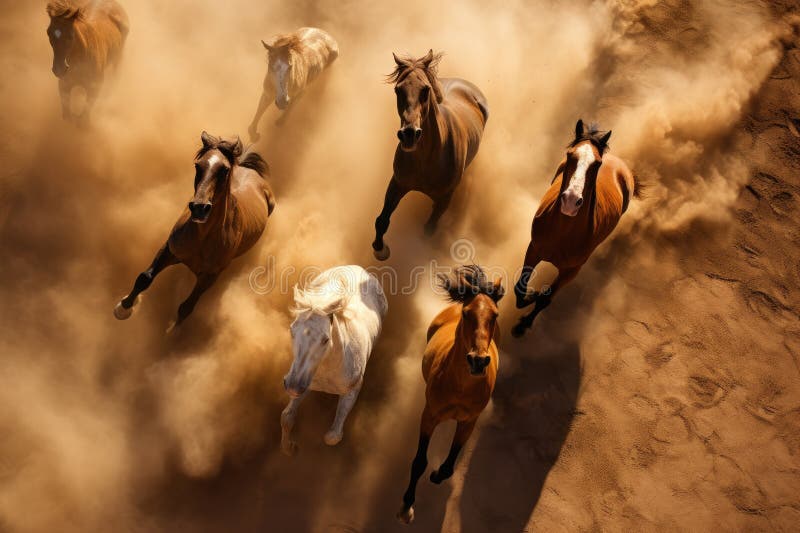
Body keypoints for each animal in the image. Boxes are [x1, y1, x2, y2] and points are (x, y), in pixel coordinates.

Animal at [114, 132, 276, 329]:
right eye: (198, 165)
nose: (199, 207)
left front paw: (169, 334)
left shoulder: (209, 277)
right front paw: (123, 308)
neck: (201, 239)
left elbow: (186, 308)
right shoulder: (169, 250)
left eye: (224, 170)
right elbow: (145, 277)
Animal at [281, 265, 387, 455]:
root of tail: (359, 269)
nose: (293, 386)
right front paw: (290, 448)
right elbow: (286, 418)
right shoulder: (306, 385)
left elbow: (332, 437)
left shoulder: (353, 389)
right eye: (291, 330)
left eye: (325, 339)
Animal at [371, 50, 489, 261]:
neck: (428, 160)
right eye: (398, 90)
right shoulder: (397, 184)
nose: (409, 134)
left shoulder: (444, 199)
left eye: (425, 89)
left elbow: (428, 230)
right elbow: (382, 220)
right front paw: (380, 250)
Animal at [397, 265, 503, 524]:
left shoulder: (468, 422)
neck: (461, 388)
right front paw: (407, 507)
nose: (478, 361)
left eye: (495, 315)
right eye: (467, 313)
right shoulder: (429, 416)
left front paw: (436, 475)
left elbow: (448, 466)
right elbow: (419, 461)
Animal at [511, 119, 641, 337]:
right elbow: (521, 288)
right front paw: (531, 295)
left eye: (597, 163)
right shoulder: (534, 249)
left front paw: (522, 325)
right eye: (570, 154)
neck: (562, 233)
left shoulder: (571, 272)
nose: (571, 201)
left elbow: (545, 299)